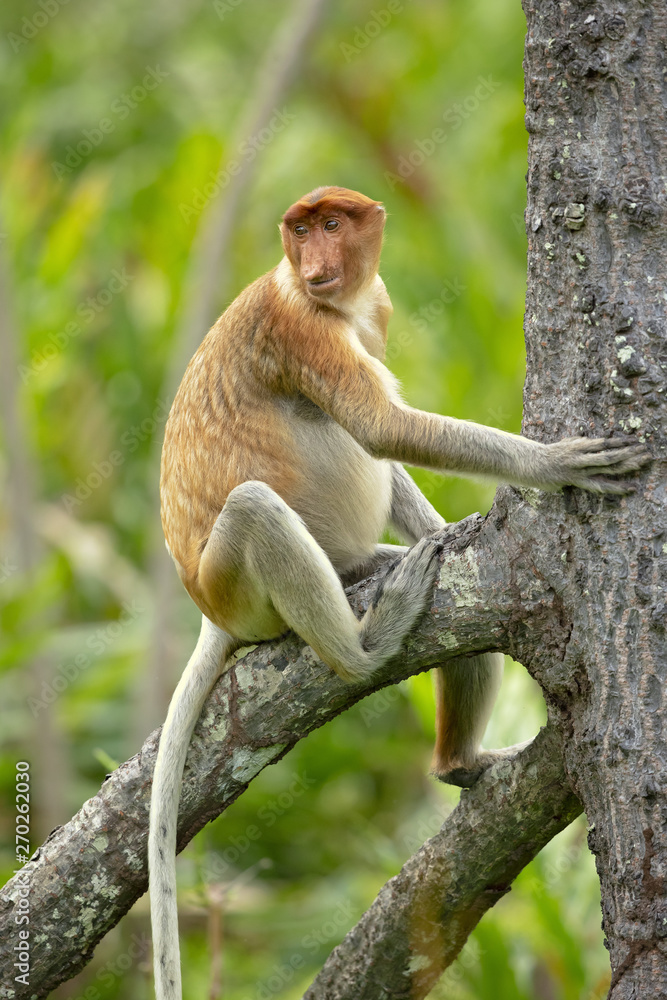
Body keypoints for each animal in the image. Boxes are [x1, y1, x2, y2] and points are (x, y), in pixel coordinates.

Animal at [149, 186, 648, 999]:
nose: (314, 262)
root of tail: (204, 605)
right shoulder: (301, 327)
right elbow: (383, 428)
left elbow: (391, 447)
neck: (333, 300)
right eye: (299, 230)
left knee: (465, 638)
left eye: (332, 224)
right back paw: (366, 647)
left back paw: (457, 762)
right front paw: (554, 464)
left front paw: (447, 525)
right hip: (235, 583)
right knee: (256, 505)